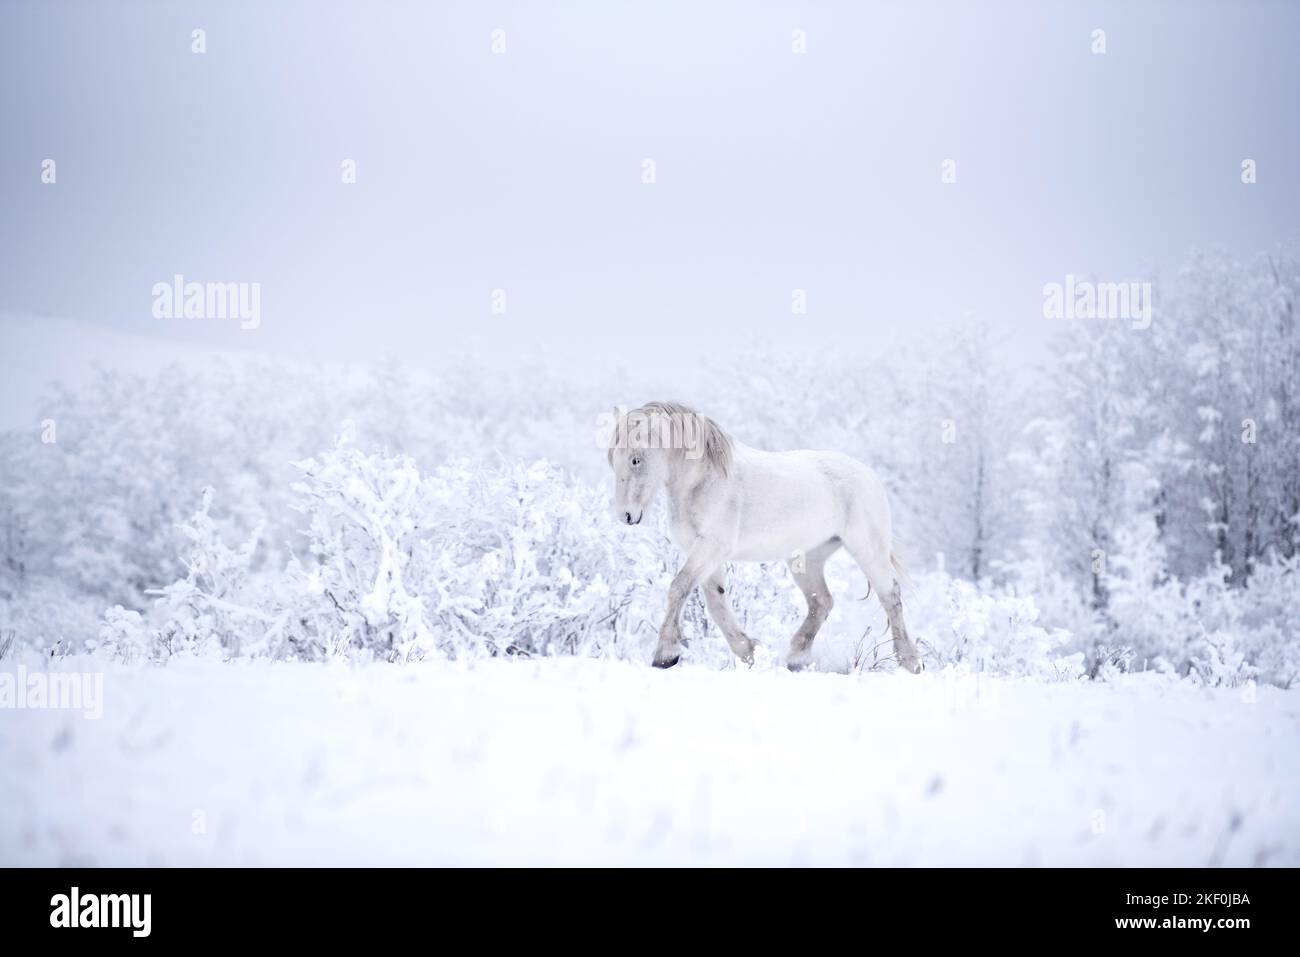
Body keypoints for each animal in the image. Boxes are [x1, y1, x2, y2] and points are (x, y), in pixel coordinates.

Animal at [606, 401, 923, 673]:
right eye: (613, 460)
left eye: (636, 459)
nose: (626, 515)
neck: (703, 482)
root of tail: (869, 475)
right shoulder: (706, 555)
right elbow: (716, 603)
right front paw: (748, 651)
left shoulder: (711, 548)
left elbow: (679, 587)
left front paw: (665, 655)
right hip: (808, 559)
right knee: (821, 602)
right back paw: (796, 659)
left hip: (867, 549)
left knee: (890, 596)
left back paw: (909, 662)